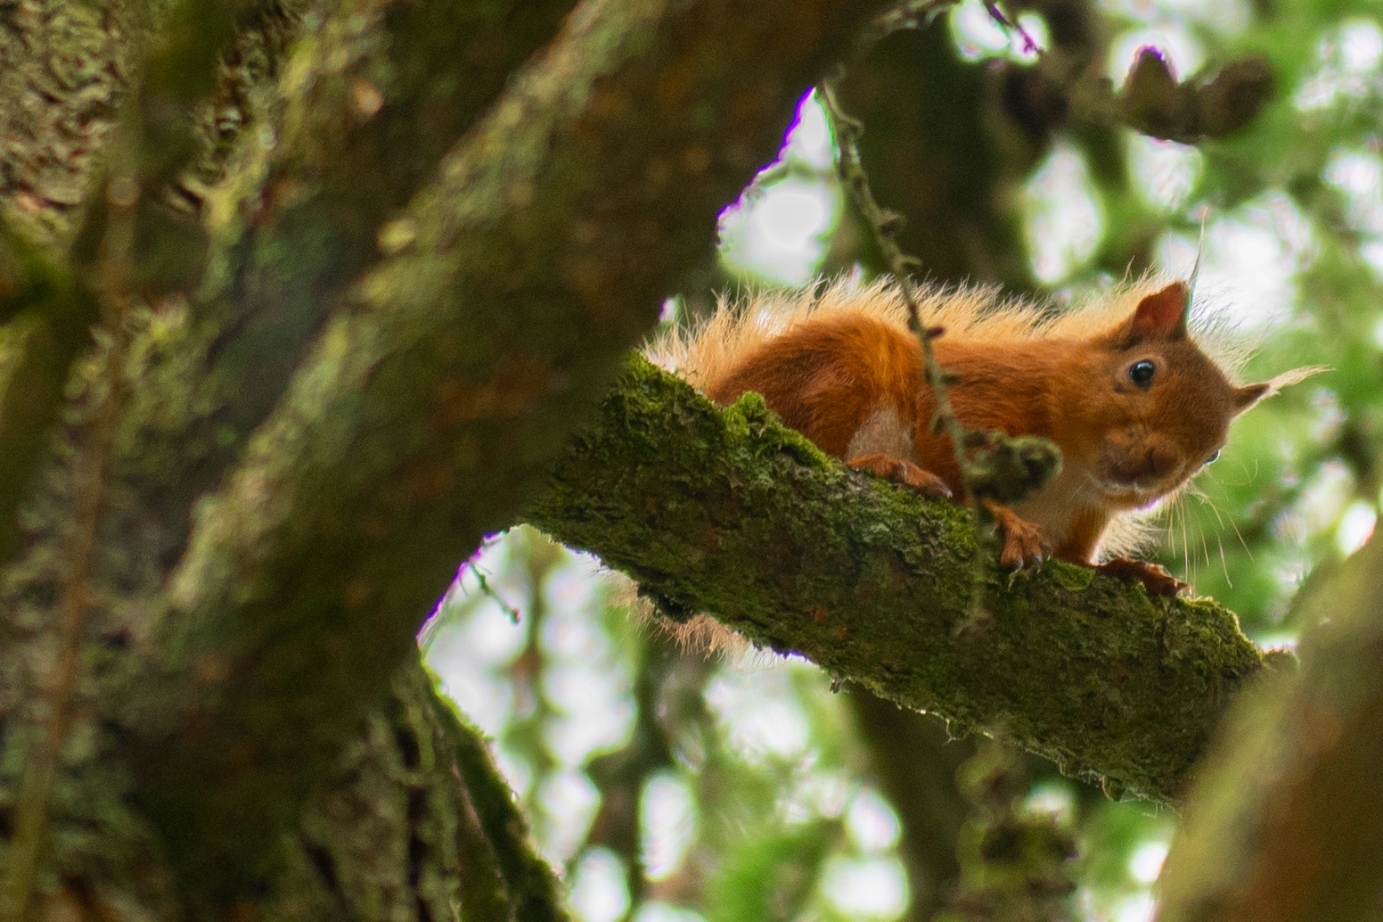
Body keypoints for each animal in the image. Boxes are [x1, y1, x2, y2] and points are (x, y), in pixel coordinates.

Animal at [651, 277, 1310, 599]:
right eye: (1142, 371)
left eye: (1214, 452)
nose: (1158, 462)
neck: (1074, 474)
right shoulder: (975, 395)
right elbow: (959, 467)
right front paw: (1008, 522)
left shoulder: (1083, 518)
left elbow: (1078, 563)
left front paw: (1131, 573)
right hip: (841, 372)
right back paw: (887, 468)